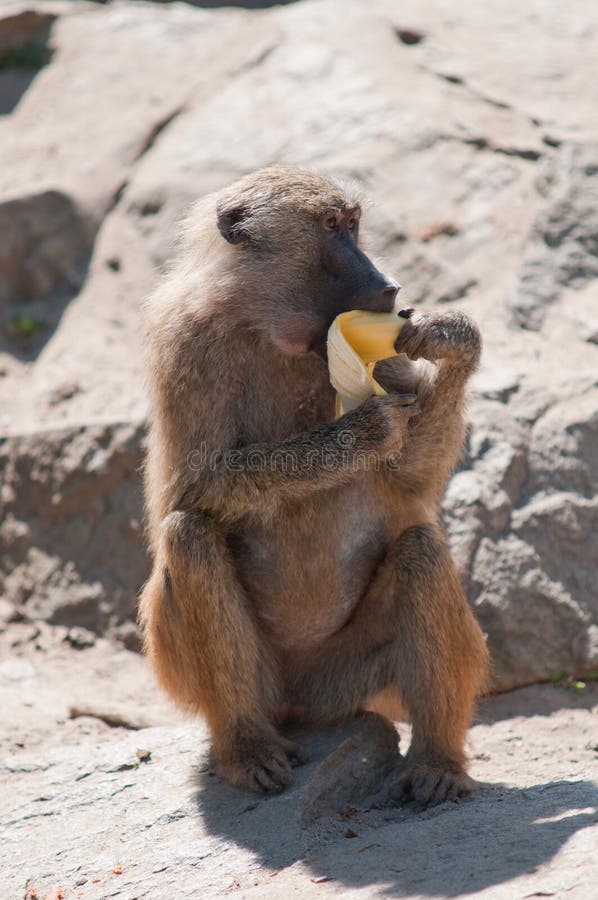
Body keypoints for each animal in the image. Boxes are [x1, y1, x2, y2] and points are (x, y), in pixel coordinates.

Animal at [138, 166, 489, 807]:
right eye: (331, 226)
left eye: (354, 223)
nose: (388, 286)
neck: (267, 326)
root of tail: (296, 703)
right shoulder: (185, 343)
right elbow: (189, 489)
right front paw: (358, 435)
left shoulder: (382, 349)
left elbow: (410, 481)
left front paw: (453, 340)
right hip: (219, 673)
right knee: (189, 535)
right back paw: (247, 746)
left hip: (344, 681)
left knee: (421, 552)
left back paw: (437, 762)